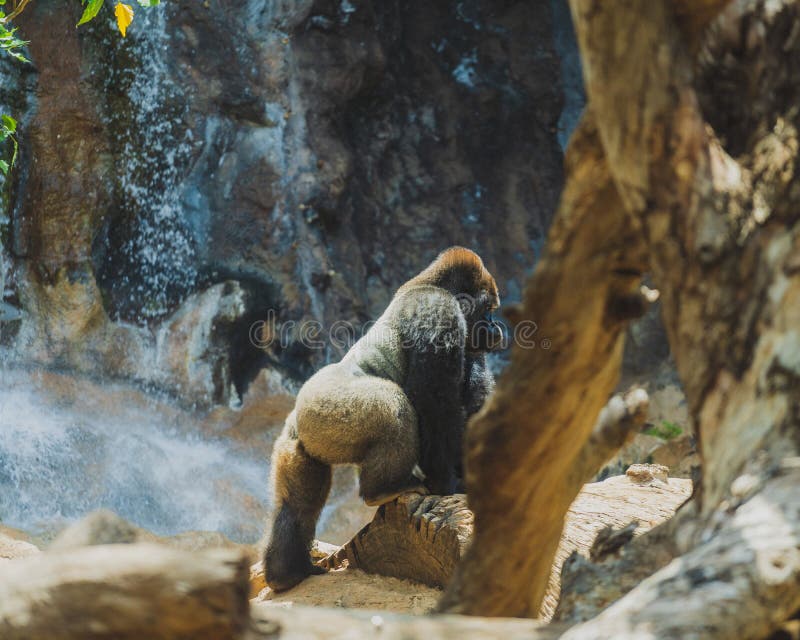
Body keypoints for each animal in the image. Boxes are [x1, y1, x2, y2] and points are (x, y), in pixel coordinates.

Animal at [264, 247, 504, 592]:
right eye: (488, 310)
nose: (496, 328)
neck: (430, 284)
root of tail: (299, 414)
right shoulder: (439, 311)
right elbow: (434, 403)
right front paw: (447, 483)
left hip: (295, 441)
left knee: (296, 503)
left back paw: (286, 572)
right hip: (329, 408)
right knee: (394, 407)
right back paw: (384, 488)